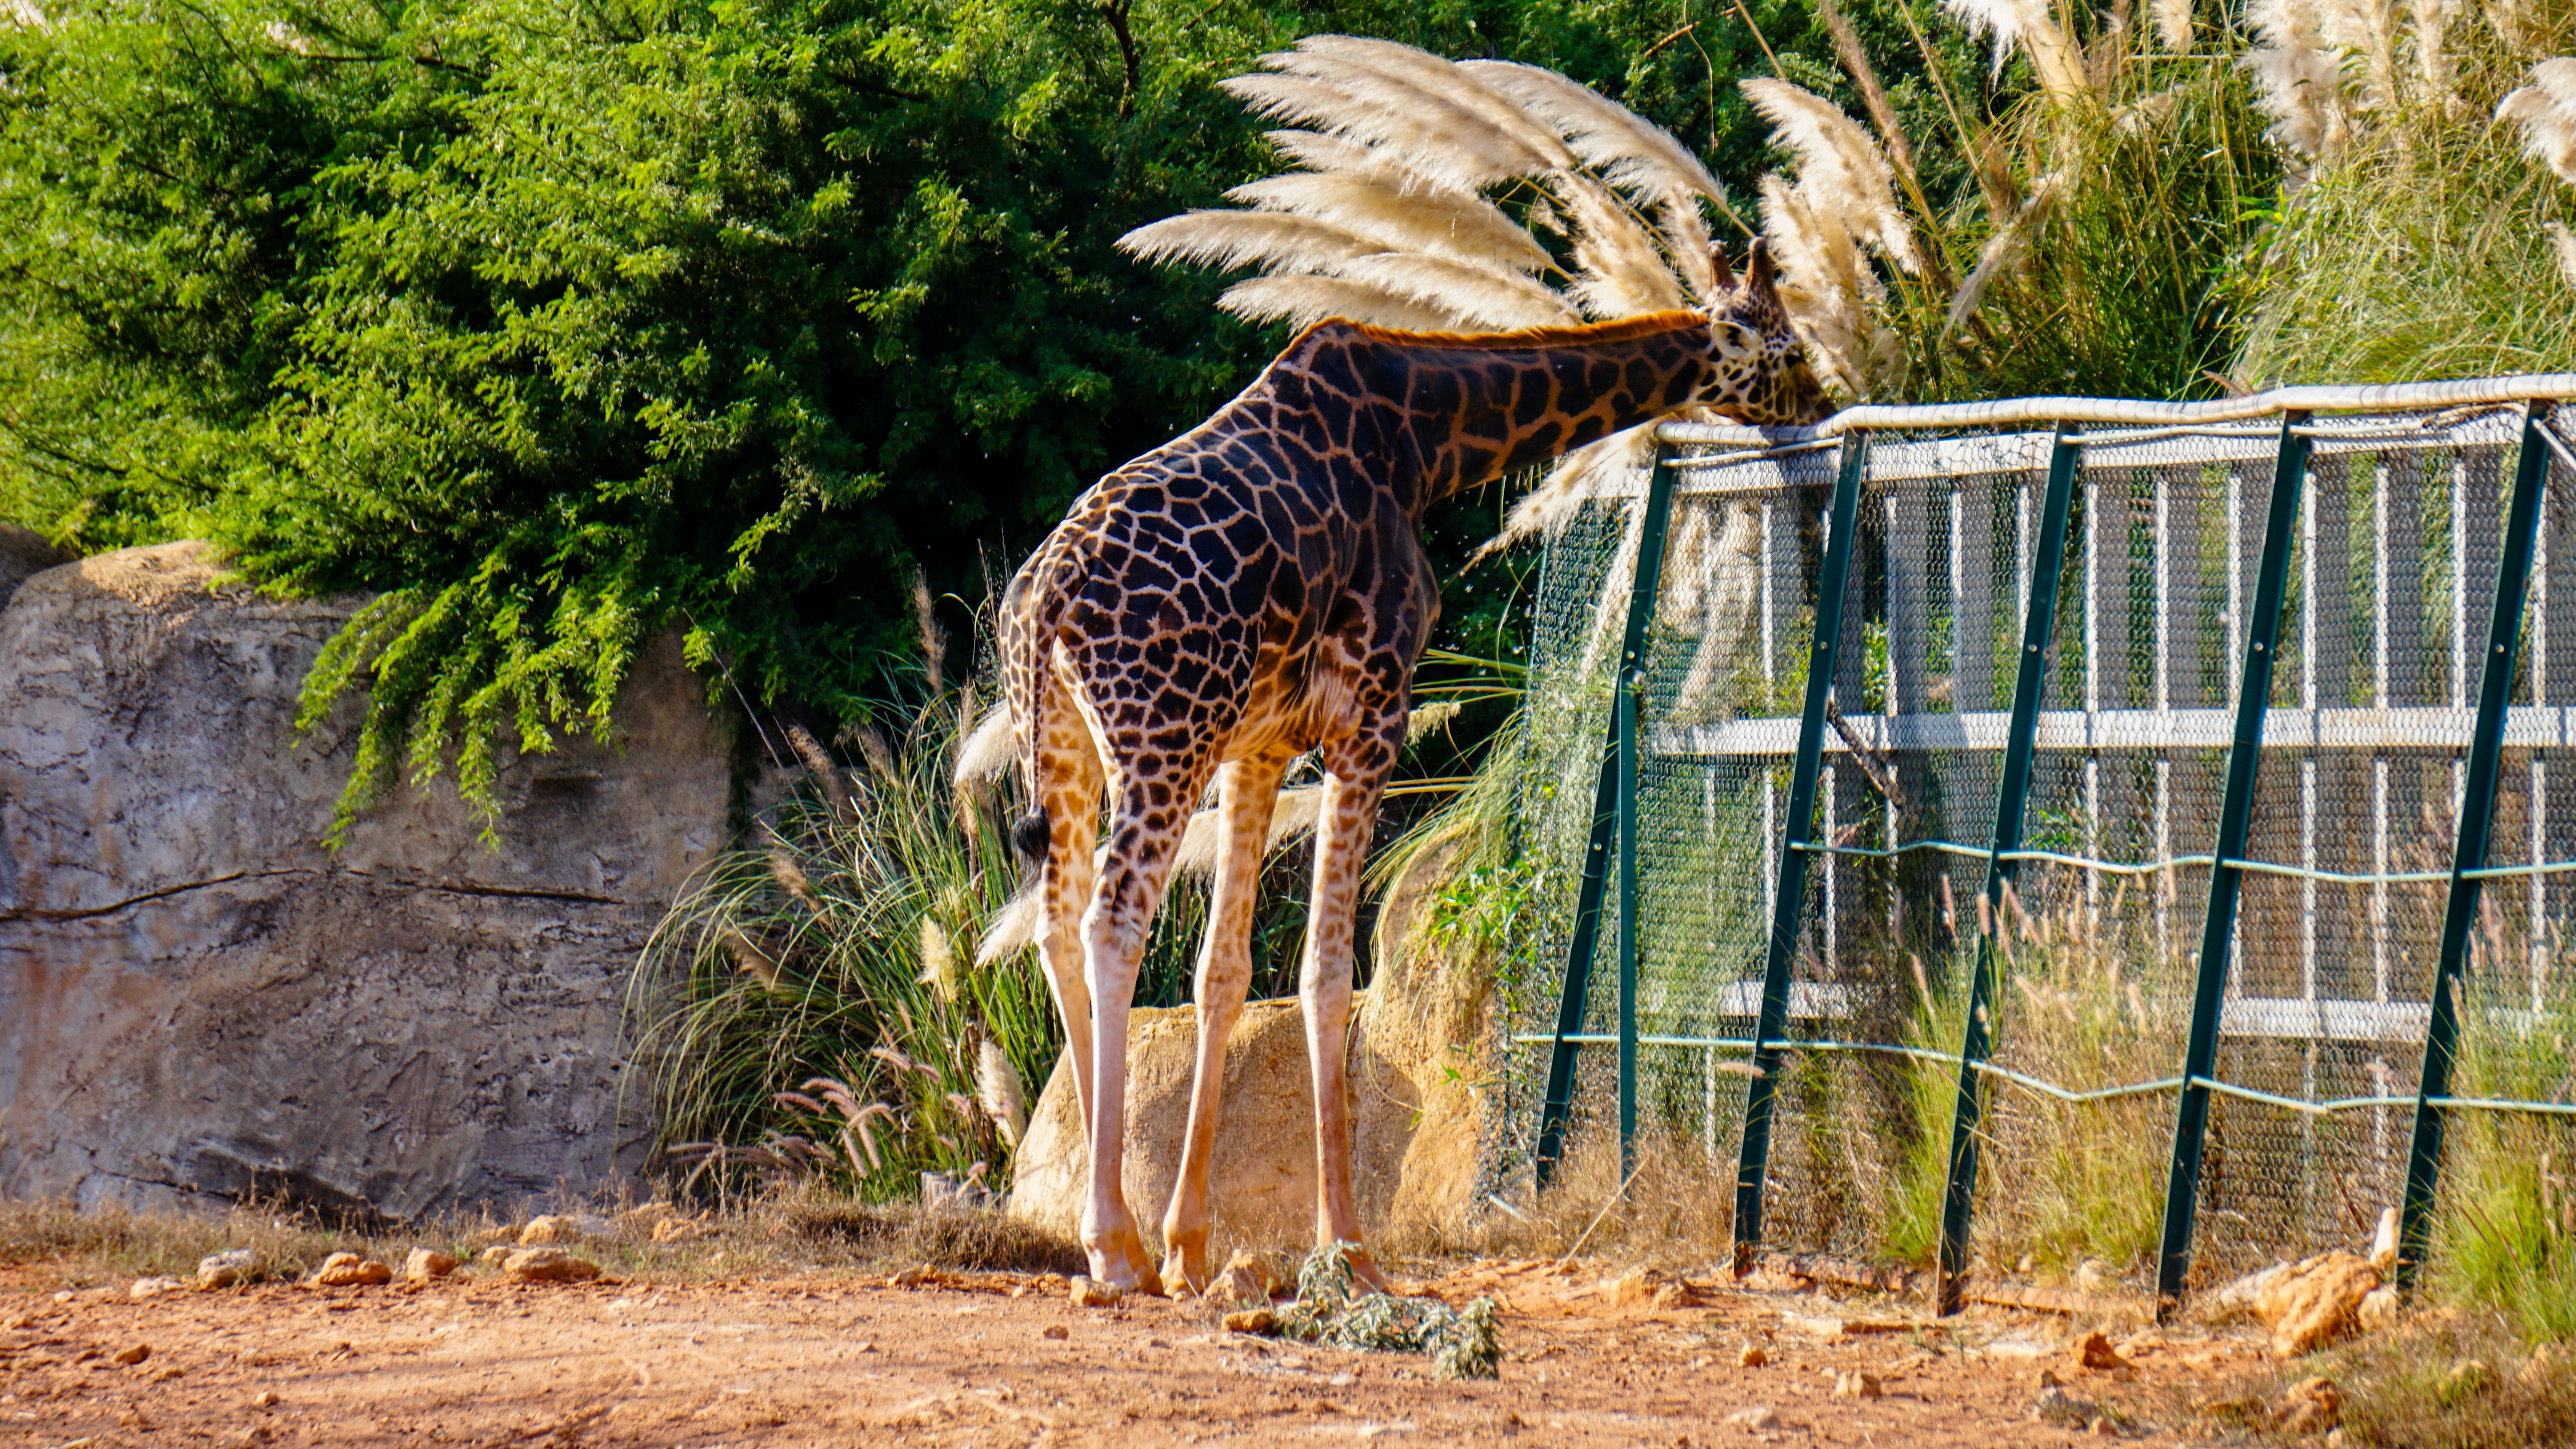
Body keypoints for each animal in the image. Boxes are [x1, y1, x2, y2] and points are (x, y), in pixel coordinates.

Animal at [966, 240, 1830, 1295]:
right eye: (1785, 345)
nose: (1820, 405)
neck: (1428, 438)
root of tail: (1044, 599)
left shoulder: (1262, 744)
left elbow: (1225, 972)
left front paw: (1192, 1244)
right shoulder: (1370, 714)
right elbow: (1329, 972)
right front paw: (1347, 1244)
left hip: (1067, 752)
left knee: (1052, 928)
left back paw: (1128, 1236)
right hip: (1161, 742)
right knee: (1111, 924)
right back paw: (1107, 1243)